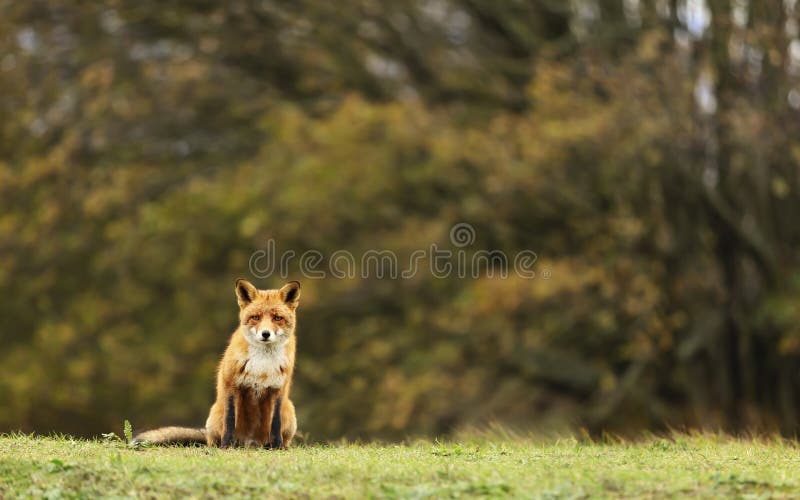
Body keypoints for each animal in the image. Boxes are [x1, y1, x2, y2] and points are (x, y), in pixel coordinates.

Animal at [131, 279, 300, 448]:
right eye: (256, 317)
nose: (265, 334)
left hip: (290, 411)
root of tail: (250, 443)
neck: (262, 365)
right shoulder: (230, 384)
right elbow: (230, 420)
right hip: (214, 415)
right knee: (212, 439)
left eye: (277, 318)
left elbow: (276, 422)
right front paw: (226, 446)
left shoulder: (278, 389)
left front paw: (277, 447)